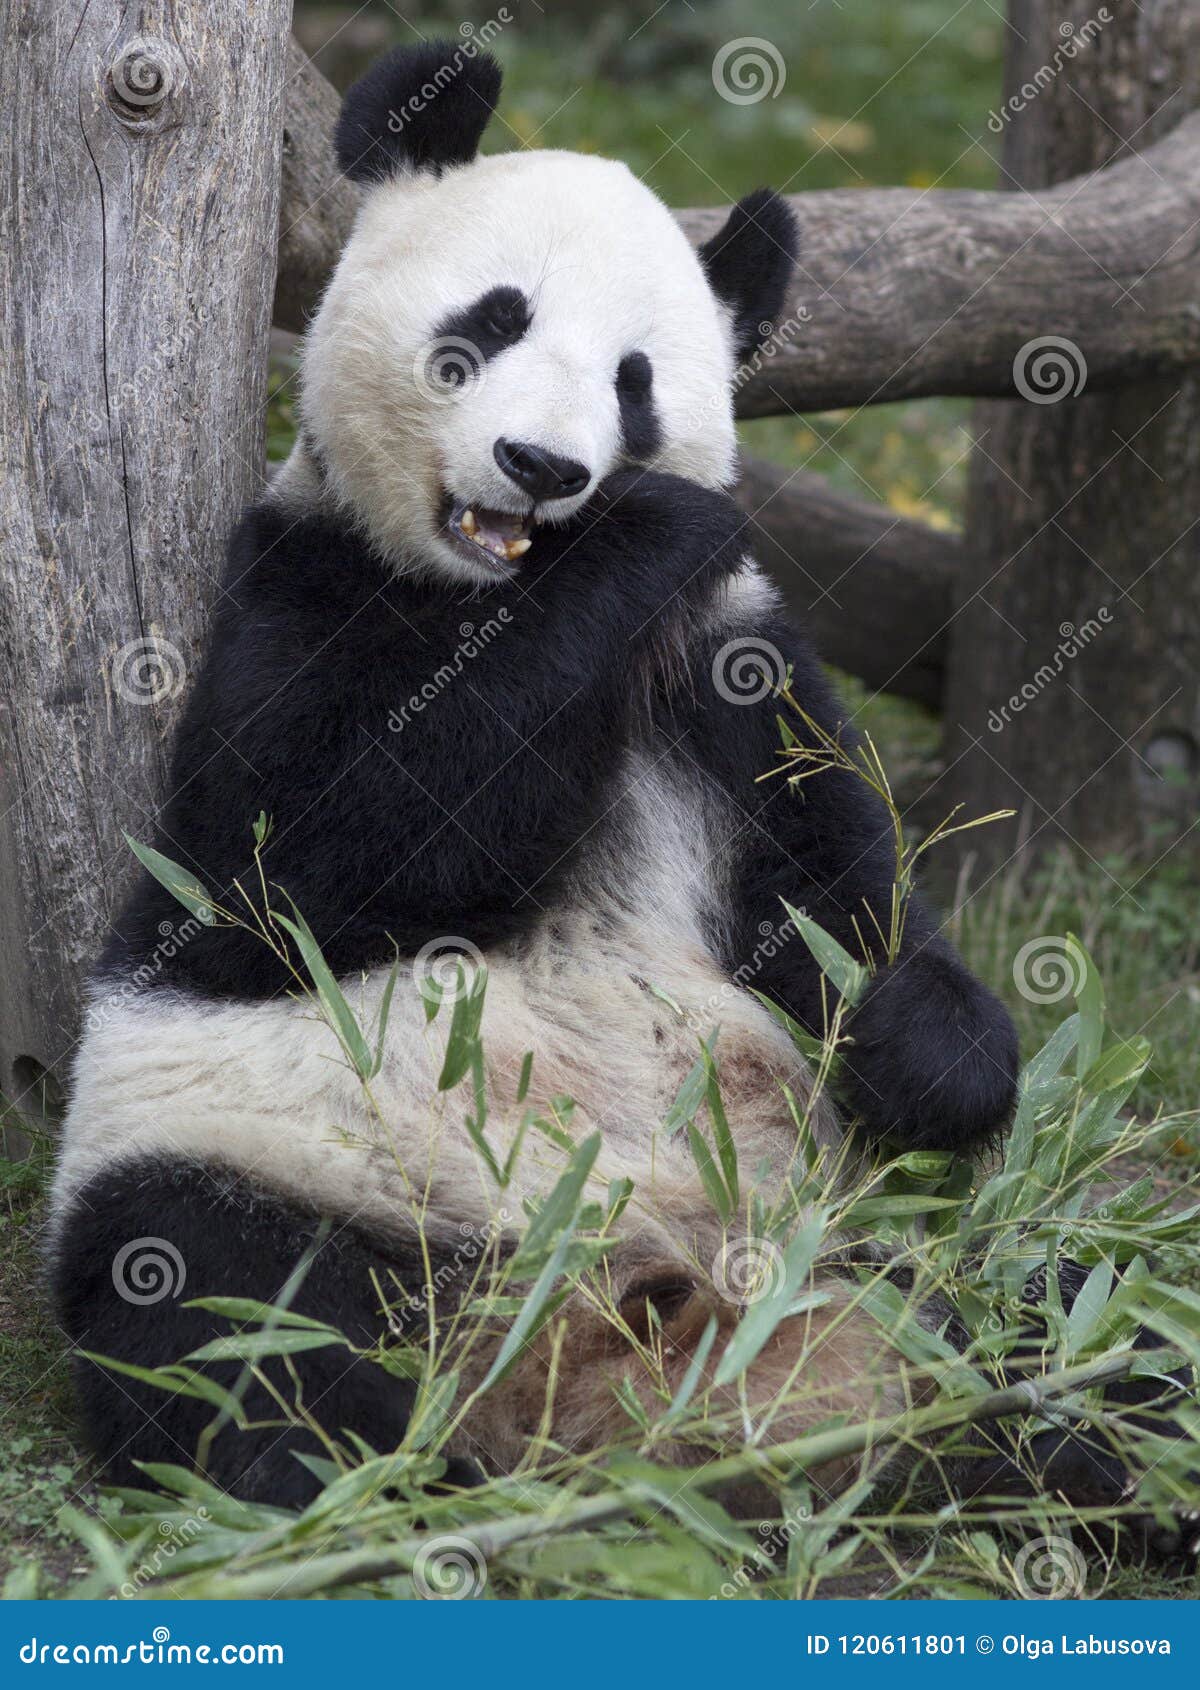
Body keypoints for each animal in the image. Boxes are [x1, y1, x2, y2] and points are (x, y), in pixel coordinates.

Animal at [50, 41, 1065, 1515]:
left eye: (636, 381)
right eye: (488, 323)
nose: (541, 467)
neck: (490, 598)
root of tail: (577, 1351)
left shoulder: (729, 672)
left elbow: (839, 891)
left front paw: (920, 1046)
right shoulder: (294, 596)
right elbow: (295, 866)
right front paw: (647, 526)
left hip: (839, 1244)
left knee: (1039, 1304)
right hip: (268, 1162)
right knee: (209, 1294)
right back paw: (360, 1469)